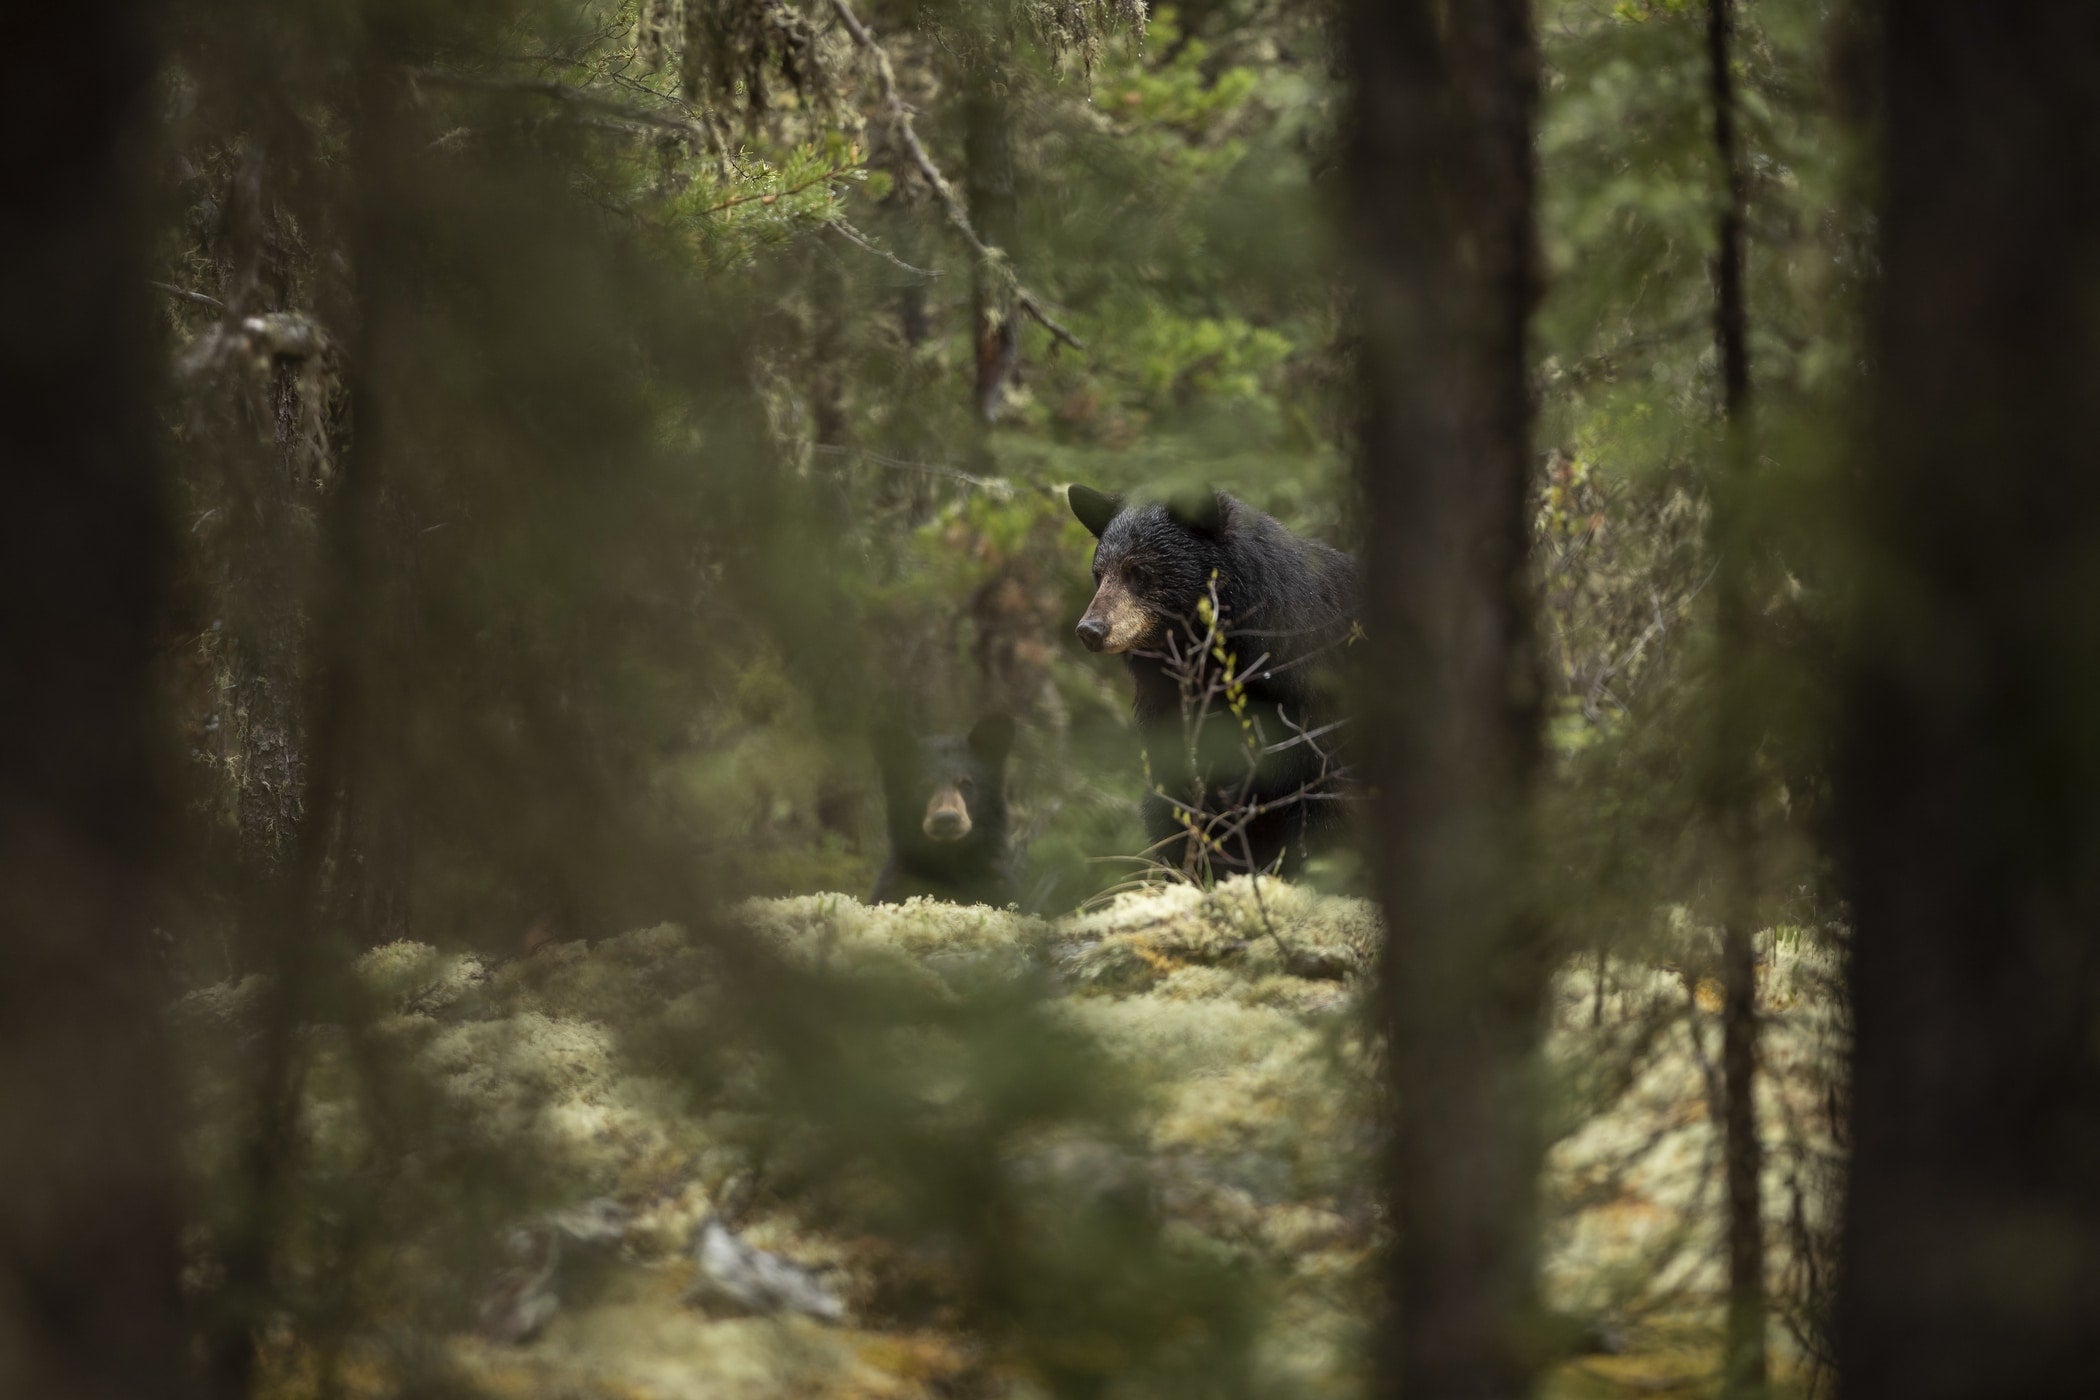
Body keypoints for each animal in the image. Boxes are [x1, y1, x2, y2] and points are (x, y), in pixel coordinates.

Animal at [871, 713, 1019, 907]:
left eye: (966, 784)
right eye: (924, 785)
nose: (946, 819)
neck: (950, 863)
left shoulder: (997, 886)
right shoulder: (898, 885)